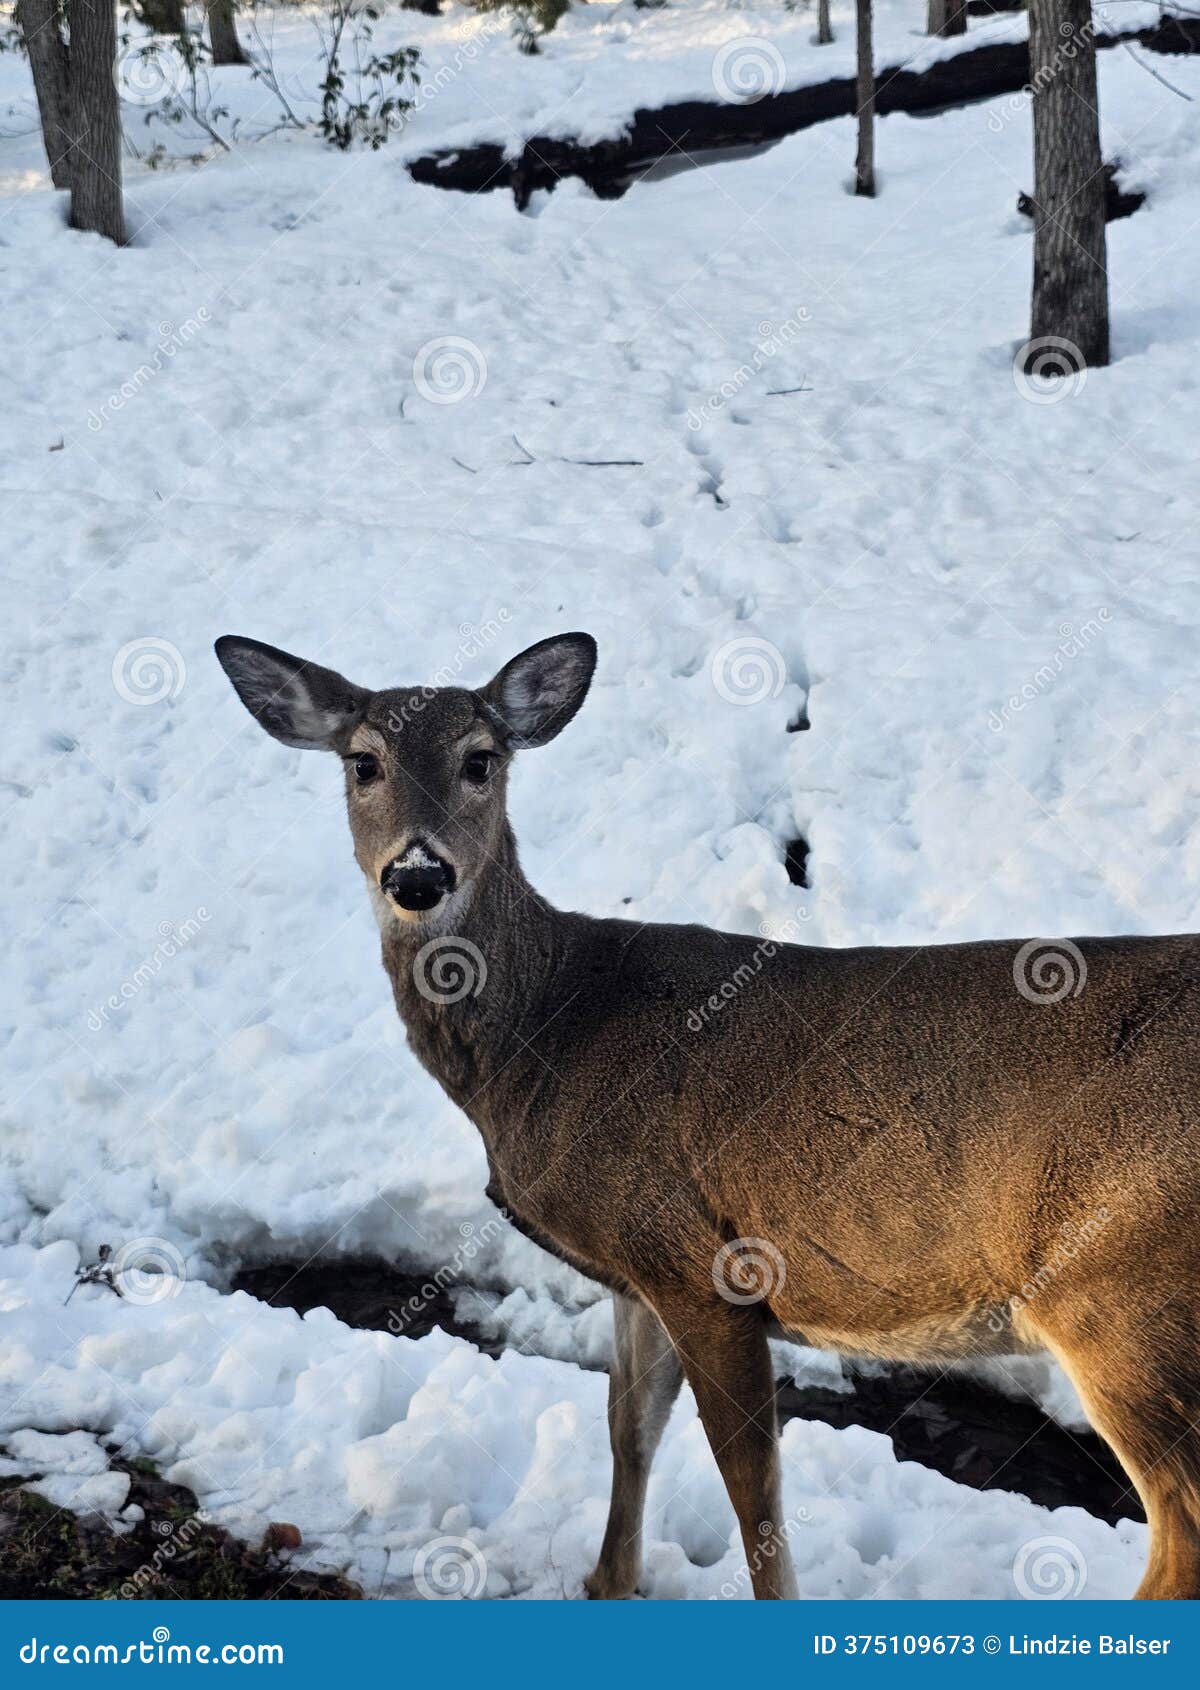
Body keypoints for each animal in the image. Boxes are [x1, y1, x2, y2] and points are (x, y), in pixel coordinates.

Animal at [216, 630, 1200, 1601]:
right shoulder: (636, 1268)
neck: (550, 1029)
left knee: (1177, 1540)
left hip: (1124, 1296)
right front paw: (607, 1582)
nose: (418, 875)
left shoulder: (707, 1264)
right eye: (363, 762)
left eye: (480, 759)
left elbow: (752, 1492)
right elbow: (630, 1428)